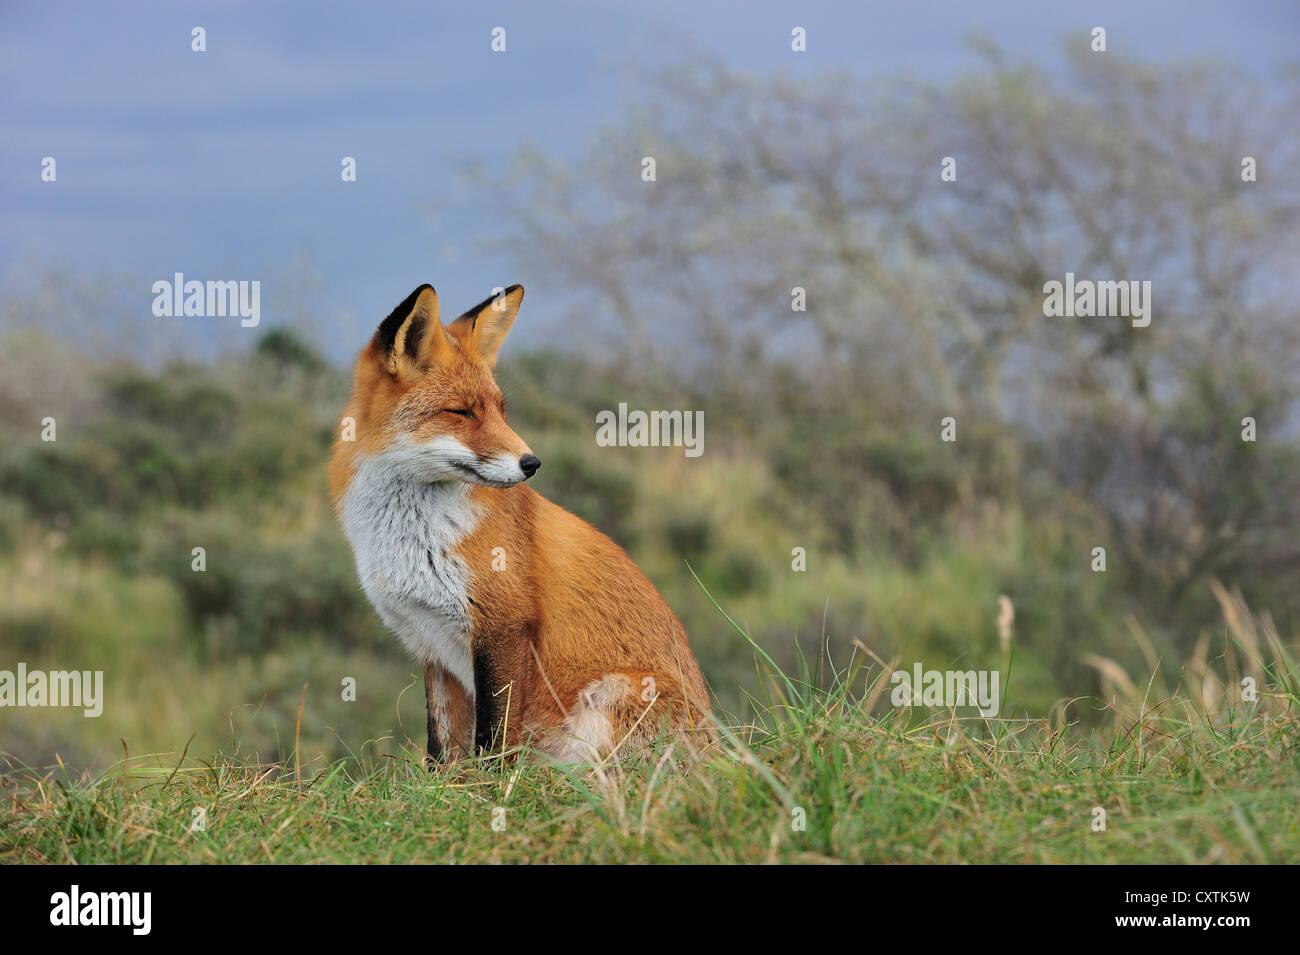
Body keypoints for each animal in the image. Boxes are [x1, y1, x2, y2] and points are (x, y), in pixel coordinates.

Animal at [328, 283, 712, 764]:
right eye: (461, 412)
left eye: (500, 410)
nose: (532, 463)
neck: (413, 538)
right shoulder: (430, 642)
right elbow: (441, 746)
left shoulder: (504, 626)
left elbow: (493, 736)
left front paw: (492, 783)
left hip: (612, 694)